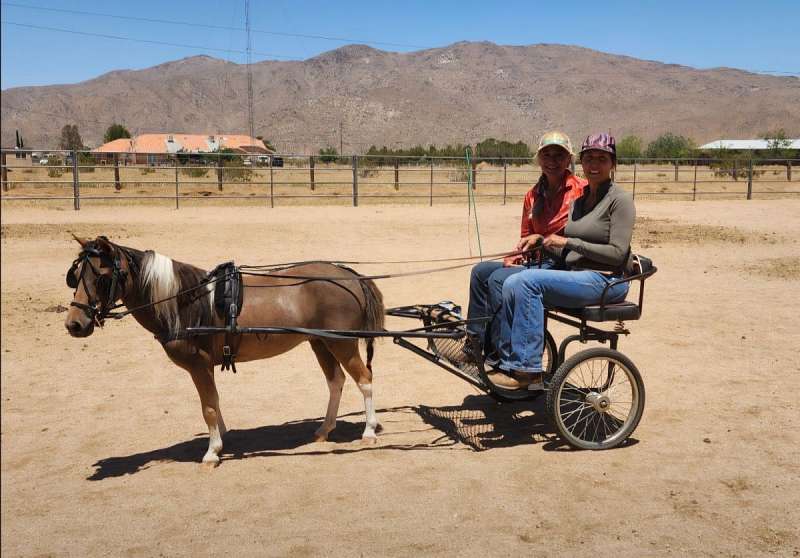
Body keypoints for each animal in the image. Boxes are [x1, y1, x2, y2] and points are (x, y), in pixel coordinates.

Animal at [64, 236, 385, 466]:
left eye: (101, 276)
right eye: (75, 276)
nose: (74, 324)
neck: (183, 302)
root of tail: (349, 275)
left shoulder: (199, 364)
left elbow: (207, 406)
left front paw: (211, 452)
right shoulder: (206, 366)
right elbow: (214, 401)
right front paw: (222, 439)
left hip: (341, 342)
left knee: (364, 380)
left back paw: (368, 431)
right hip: (320, 342)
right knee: (336, 382)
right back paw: (324, 429)